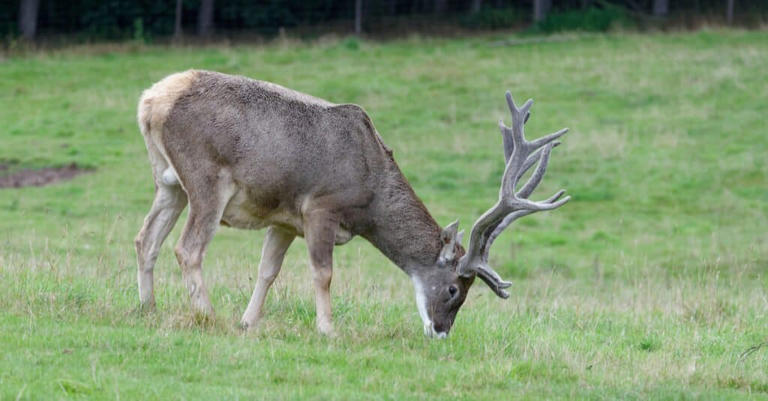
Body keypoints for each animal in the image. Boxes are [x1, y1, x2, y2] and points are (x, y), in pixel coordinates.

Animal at [134, 70, 569, 338]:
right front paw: (327, 329)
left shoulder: (284, 219)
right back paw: (207, 316)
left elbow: (268, 271)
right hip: (207, 179)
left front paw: (248, 323)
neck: (370, 196)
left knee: (146, 239)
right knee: (187, 248)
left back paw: (148, 308)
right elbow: (323, 273)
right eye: (453, 290)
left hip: (168, 182)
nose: (441, 331)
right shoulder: (319, 207)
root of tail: (150, 100)